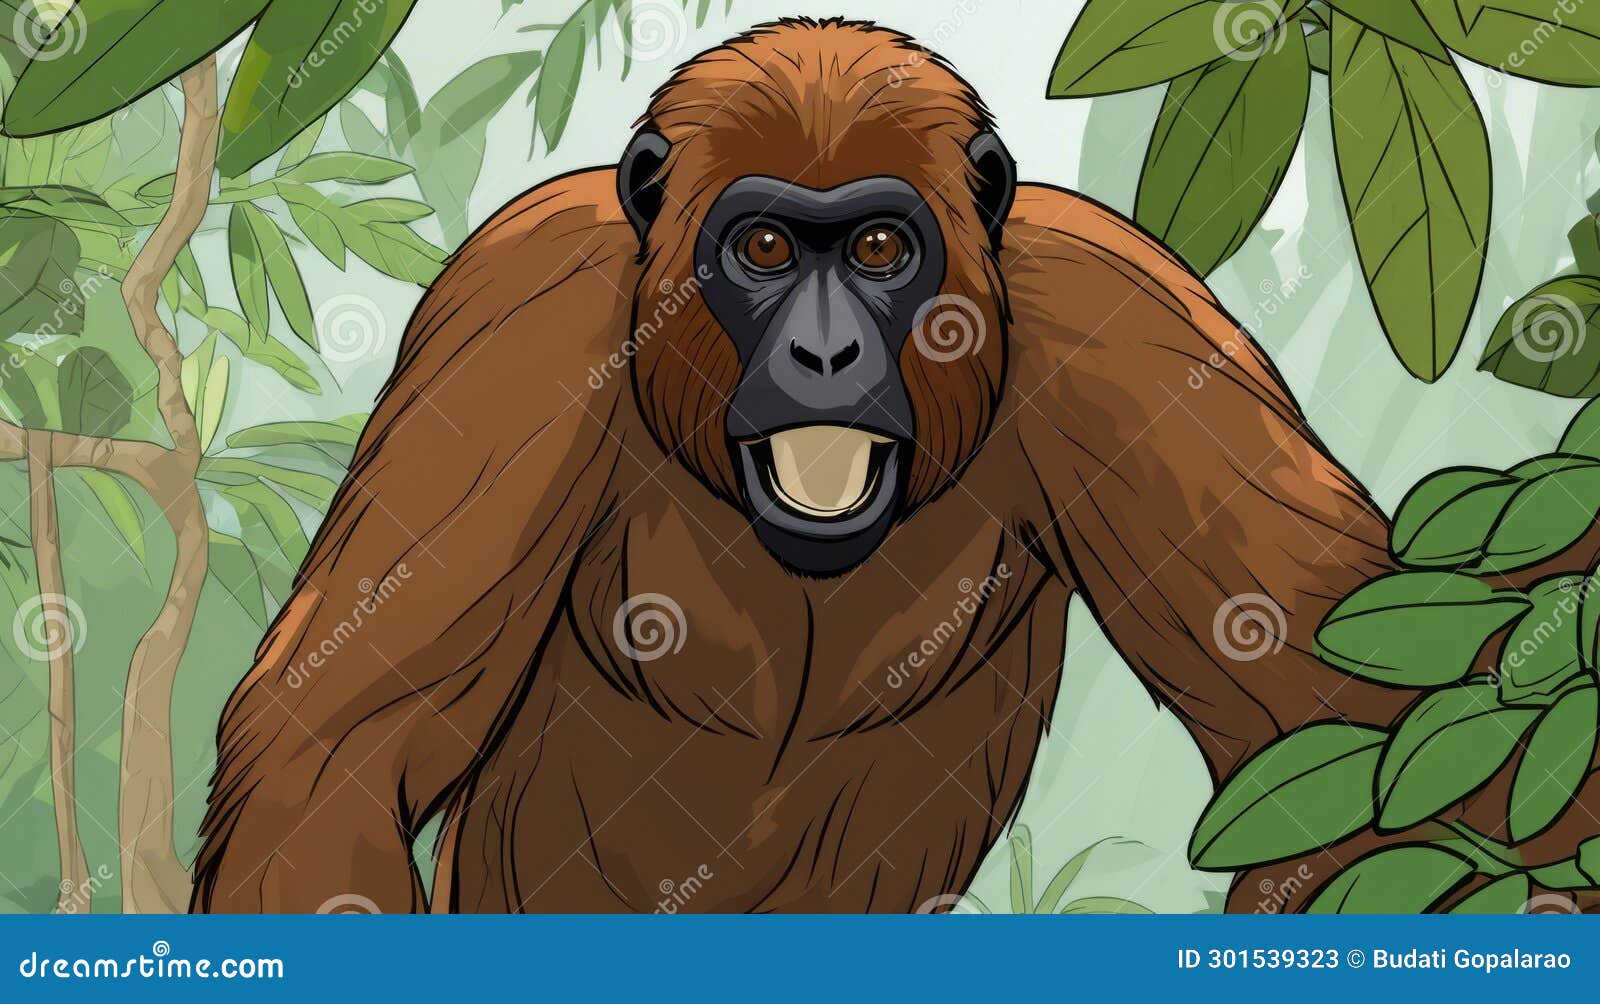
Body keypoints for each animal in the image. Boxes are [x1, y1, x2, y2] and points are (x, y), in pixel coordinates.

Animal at [192, 18, 1428, 914]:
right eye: (766, 249)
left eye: (879, 249)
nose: (824, 352)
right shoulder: (524, 310)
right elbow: (335, 759)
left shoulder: (1112, 311)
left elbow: (1350, 740)